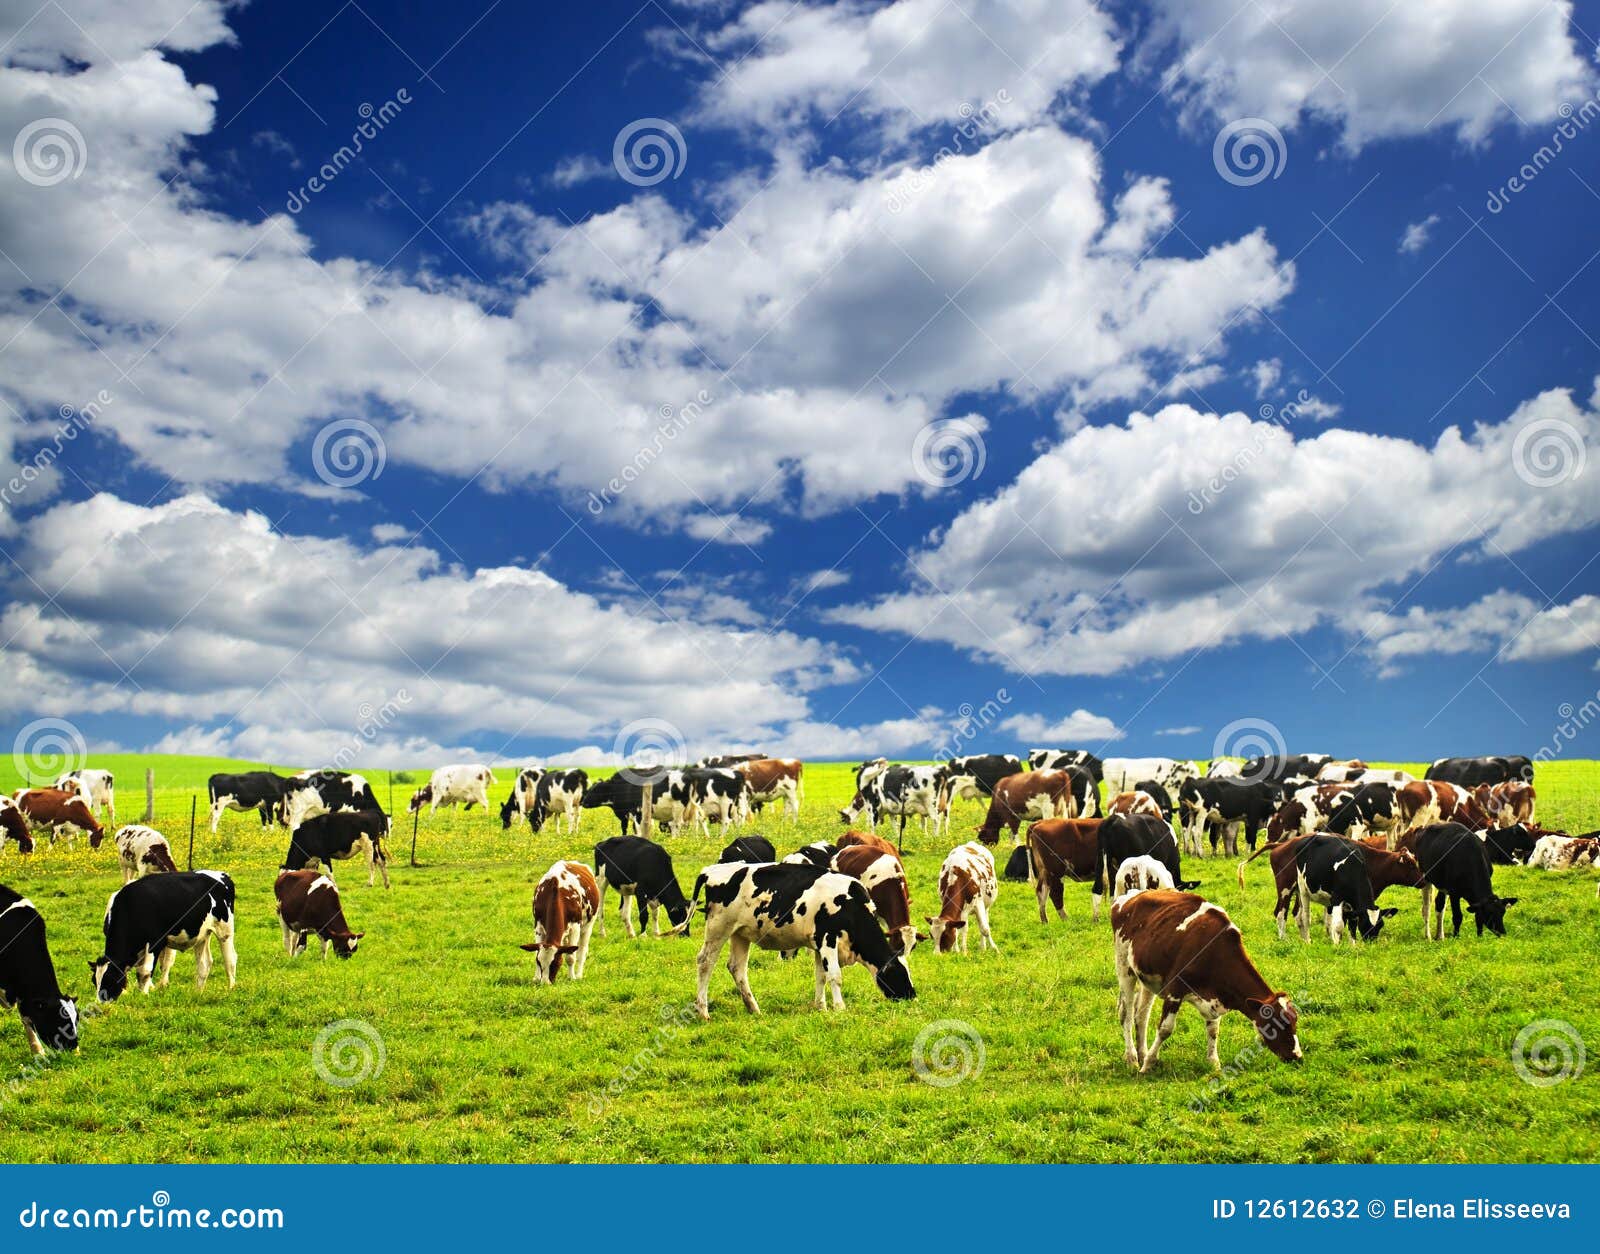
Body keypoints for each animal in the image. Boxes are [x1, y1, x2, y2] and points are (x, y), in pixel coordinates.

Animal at [90, 871, 238, 1000]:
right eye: (94, 981)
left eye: (110, 980)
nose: (100, 1003)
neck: (131, 906)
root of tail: (222, 874)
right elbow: (139, 971)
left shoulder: (155, 943)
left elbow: (145, 971)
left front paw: (143, 995)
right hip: (202, 934)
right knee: (204, 964)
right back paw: (197, 993)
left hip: (225, 930)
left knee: (230, 959)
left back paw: (231, 989)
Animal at [689, 861, 915, 1018]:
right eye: (899, 973)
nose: (912, 996)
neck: (851, 905)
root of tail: (711, 870)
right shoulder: (827, 938)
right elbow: (835, 976)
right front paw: (840, 1008)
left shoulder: (818, 945)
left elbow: (821, 976)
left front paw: (821, 1008)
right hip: (719, 928)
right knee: (705, 962)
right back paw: (703, 1011)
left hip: (740, 934)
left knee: (737, 967)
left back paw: (754, 1008)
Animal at [1112, 890, 1301, 1073]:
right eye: (1278, 1024)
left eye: (1294, 1021)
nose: (1297, 1057)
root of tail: (1131, 895)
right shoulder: (1175, 990)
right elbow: (1165, 1029)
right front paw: (1148, 1064)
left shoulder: (1216, 996)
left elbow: (1213, 1030)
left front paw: (1213, 1063)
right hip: (1124, 968)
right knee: (1126, 1014)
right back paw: (1132, 1059)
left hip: (1148, 977)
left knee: (1141, 1016)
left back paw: (1142, 1053)